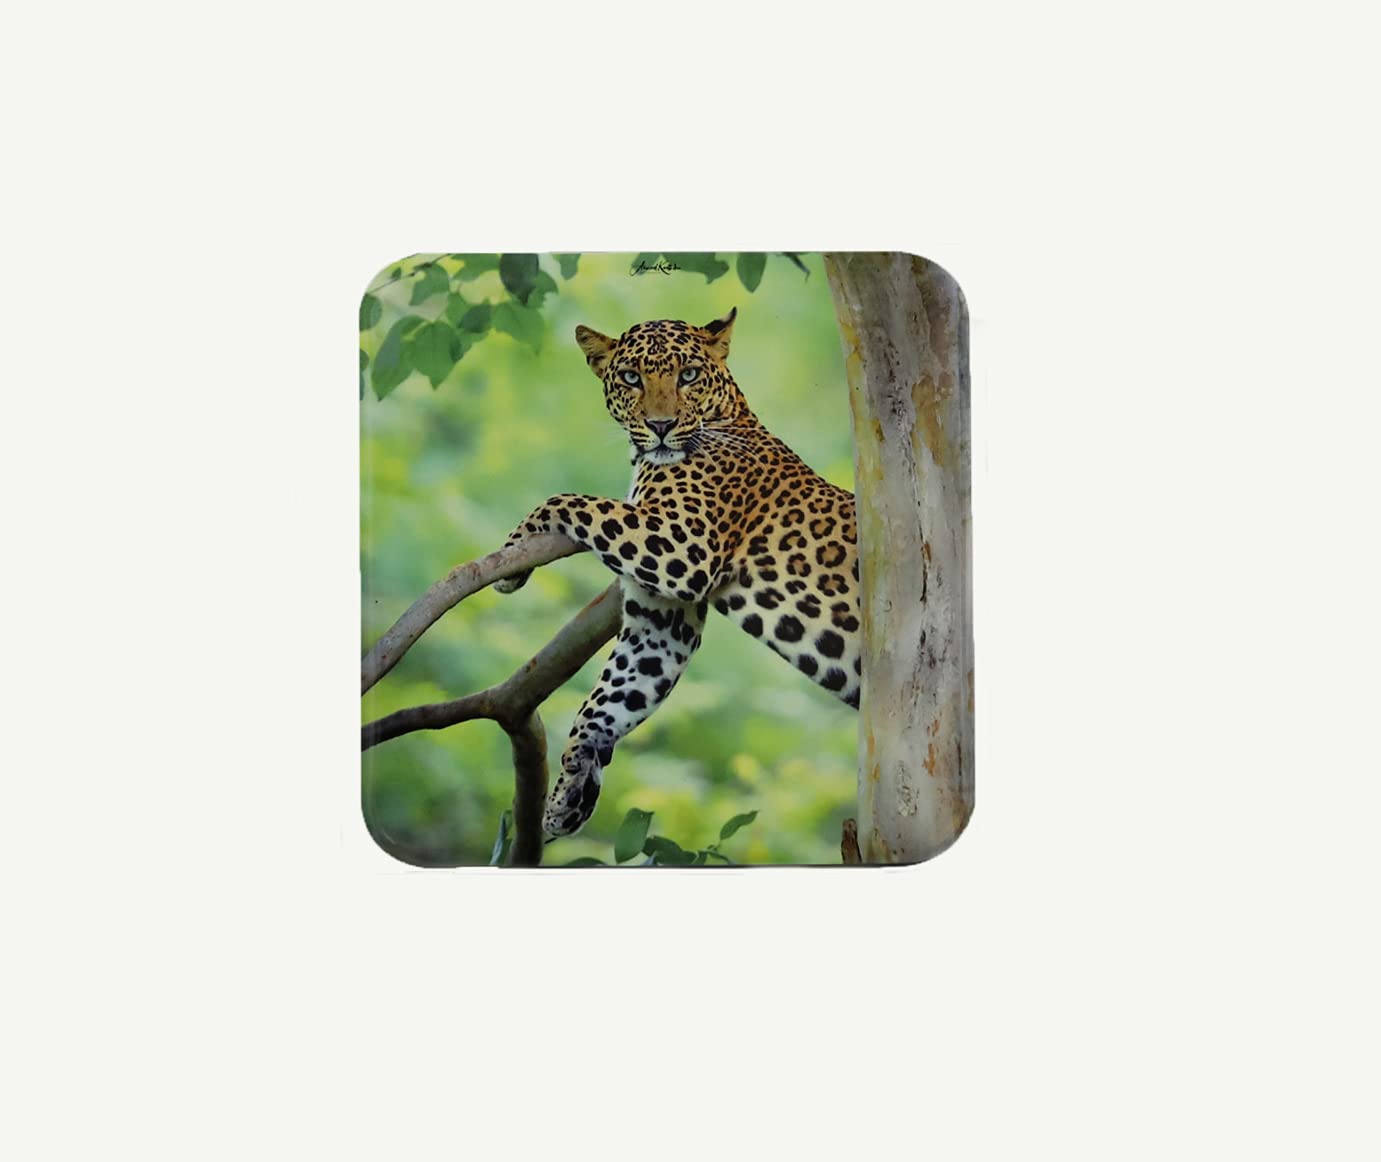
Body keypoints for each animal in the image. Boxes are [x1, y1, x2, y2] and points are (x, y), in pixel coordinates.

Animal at [495, 308, 861, 838]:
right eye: (631, 378)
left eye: (687, 375)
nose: (661, 425)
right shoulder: (662, 621)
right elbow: (609, 698)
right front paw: (569, 793)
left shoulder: (684, 546)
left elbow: (572, 500)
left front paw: (511, 553)